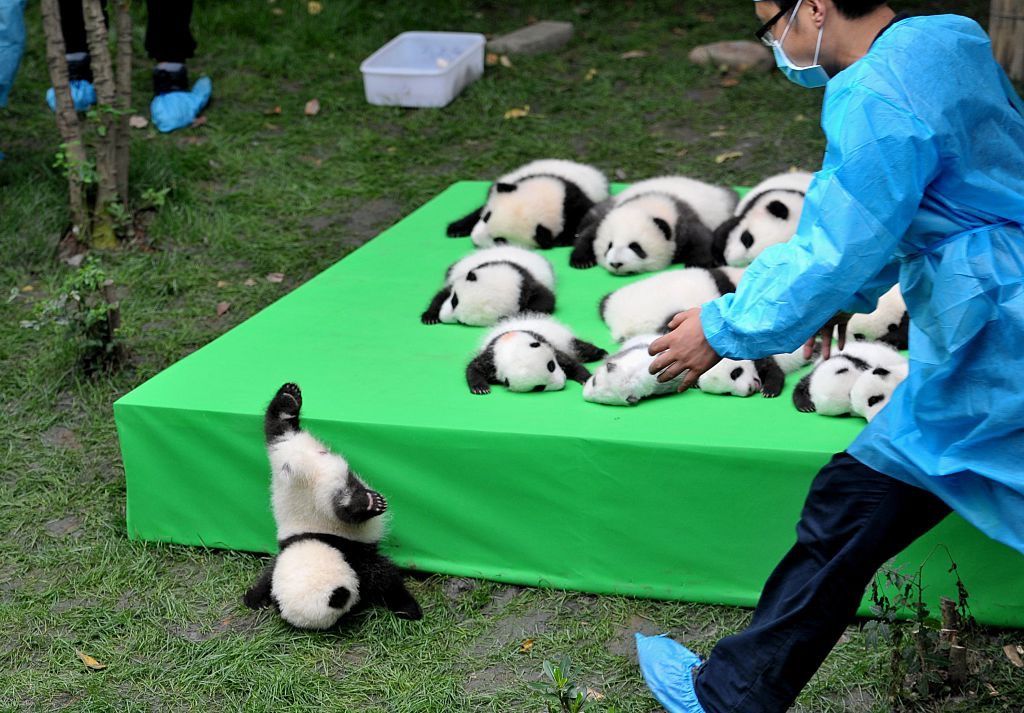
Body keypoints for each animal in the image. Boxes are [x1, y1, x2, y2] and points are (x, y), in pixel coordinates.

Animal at [243, 383, 422, 629]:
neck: (317, 541)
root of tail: (299, 466)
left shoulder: (351, 553)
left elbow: (385, 579)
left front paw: (408, 609)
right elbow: (269, 573)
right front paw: (256, 597)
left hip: (295, 473)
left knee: (342, 510)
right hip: (286, 453)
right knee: (278, 428)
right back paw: (288, 400)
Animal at [421, 246, 556, 326]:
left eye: (461, 322)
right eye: (454, 300)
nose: (442, 317)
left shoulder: (529, 285)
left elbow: (546, 300)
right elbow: (443, 293)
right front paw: (430, 316)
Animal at [446, 159, 610, 249]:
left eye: (500, 240)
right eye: (487, 217)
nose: (475, 241)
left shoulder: (575, 207)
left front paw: (561, 240)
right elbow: (479, 209)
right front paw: (456, 229)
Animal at [466, 313, 606, 395]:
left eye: (551, 366)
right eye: (539, 387)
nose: (562, 382)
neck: (511, 346)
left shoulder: (547, 343)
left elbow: (570, 362)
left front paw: (586, 378)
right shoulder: (491, 357)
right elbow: (474, 367)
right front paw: (480, 388)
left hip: (565, 339)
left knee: (580, 348)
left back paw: (600, 352)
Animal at [569, 176, 738, 275]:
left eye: (636, 247)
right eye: (609, 246)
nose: (616, 264)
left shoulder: (683, 221)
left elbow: (702, 238)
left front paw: (696, 264)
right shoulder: (609, 214)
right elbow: (589, 233)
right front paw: (582, 261)